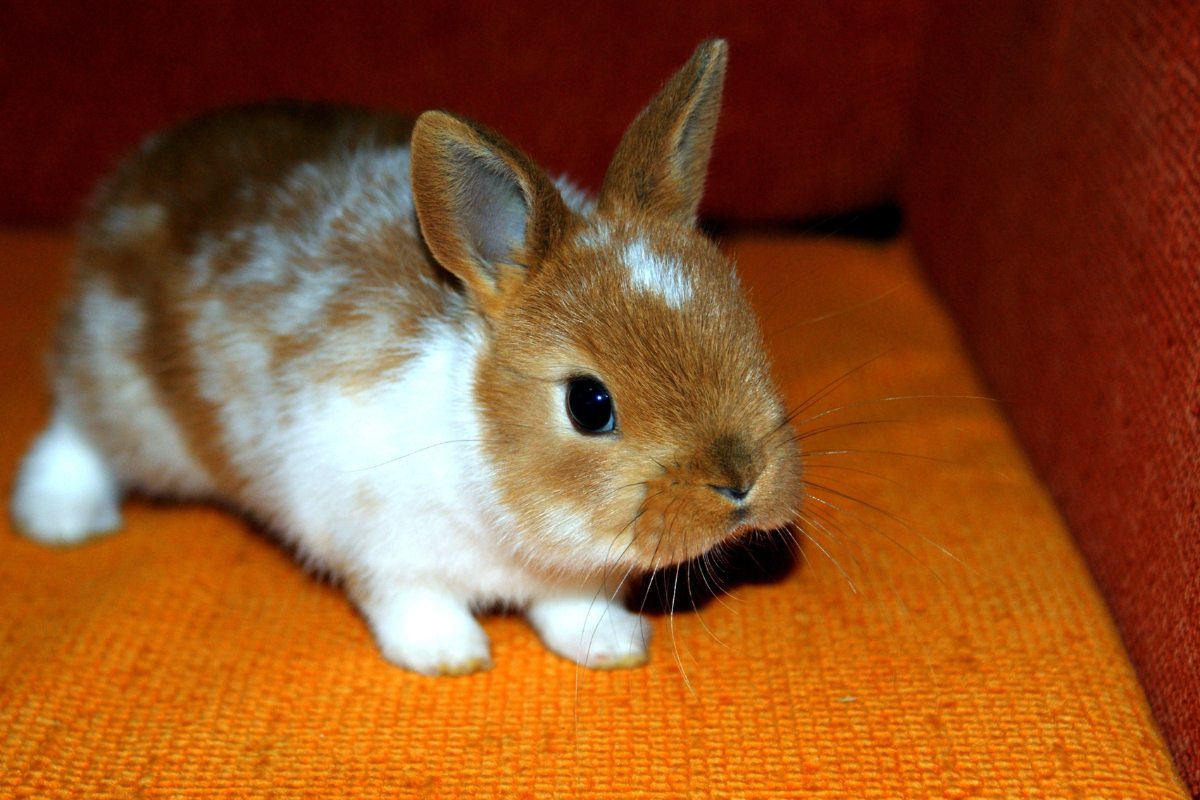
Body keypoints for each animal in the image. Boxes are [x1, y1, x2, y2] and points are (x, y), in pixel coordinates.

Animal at [10, 39, 804, 676]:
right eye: (590, 404)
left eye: (746, 330)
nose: (741, 481)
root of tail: (142, 168)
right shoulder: (373, 539)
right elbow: (408, 601)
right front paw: (449, 655)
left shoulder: (569, 578)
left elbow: (572, 607)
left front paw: (613, 647)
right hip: (126, 391)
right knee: (77, 430)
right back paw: (61, 517)